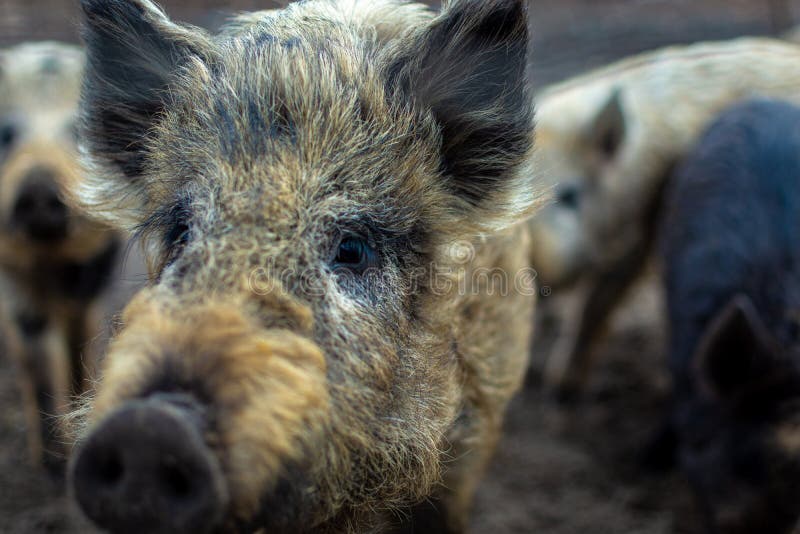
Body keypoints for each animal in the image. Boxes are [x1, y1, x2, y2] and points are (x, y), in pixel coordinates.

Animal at [0, 41, 121, 475]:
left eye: (76, 132)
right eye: (5, 132)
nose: (38, 185)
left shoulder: (92, 277)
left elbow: (78, 342)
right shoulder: (13, 283)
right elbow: (36, 356)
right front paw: (52, 465)